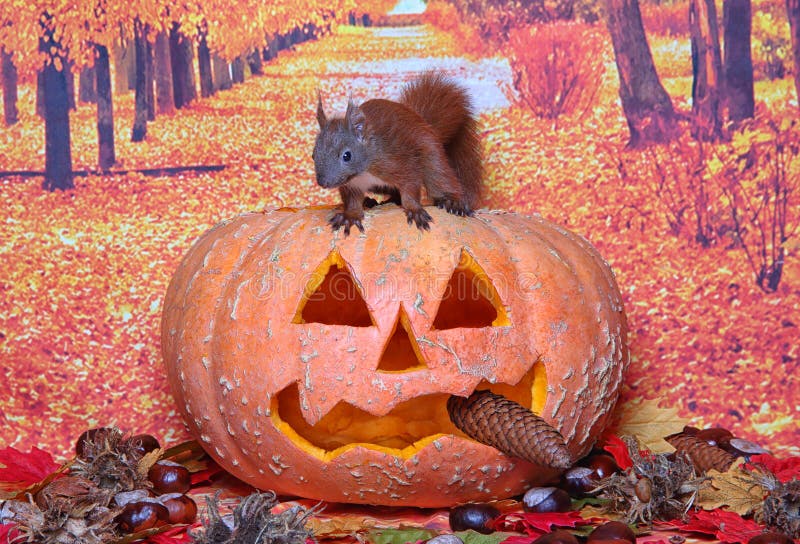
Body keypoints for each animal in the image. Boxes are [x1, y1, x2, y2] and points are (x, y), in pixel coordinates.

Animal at [313, 71, 483, 235]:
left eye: (347, 156)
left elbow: (410, 187)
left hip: (431, 155)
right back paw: (373, 202)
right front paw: (350, 216)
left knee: (439, 177)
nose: (323, 182)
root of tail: (425, 123)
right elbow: (352, 201)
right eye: (313, 155)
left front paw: (414, 210)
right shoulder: (351, 185)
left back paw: (452, 202)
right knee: (393, 194)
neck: (362, 172)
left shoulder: (396, 163)